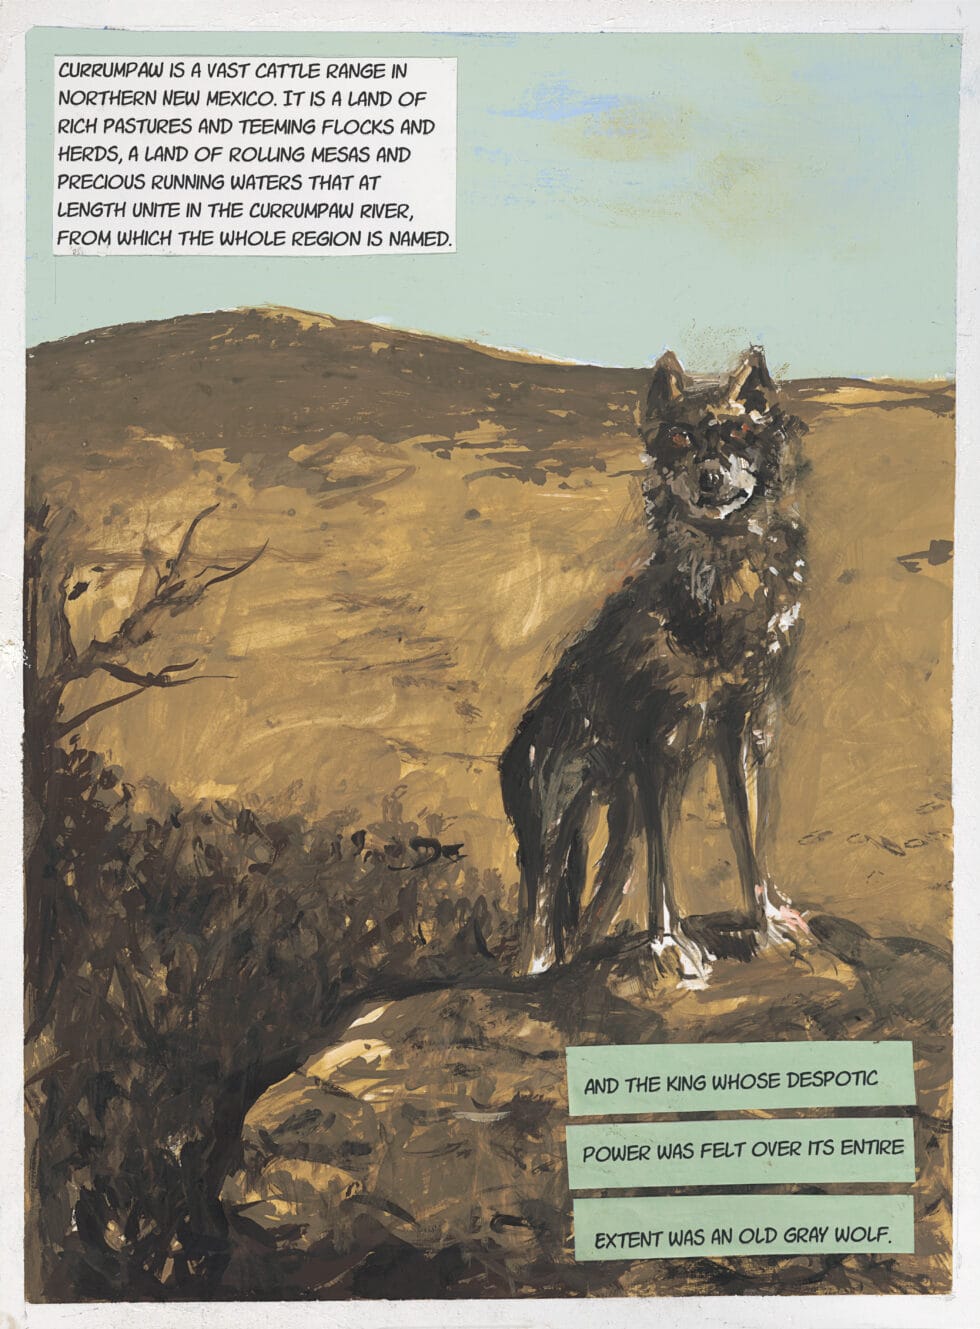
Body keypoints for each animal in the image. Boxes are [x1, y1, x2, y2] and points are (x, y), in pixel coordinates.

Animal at [499, 347, 808, 978]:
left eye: (737, 433)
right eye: (680, 437)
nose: (709, 477)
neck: (724, 593)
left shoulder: (745, 733)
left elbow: (751, 838)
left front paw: (766, 925)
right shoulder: (660, 748)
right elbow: (667, 869)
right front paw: (672, 945)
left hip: (623, 828)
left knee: (591, 914)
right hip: (557, 823)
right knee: (539, 921)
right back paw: (539, 972)